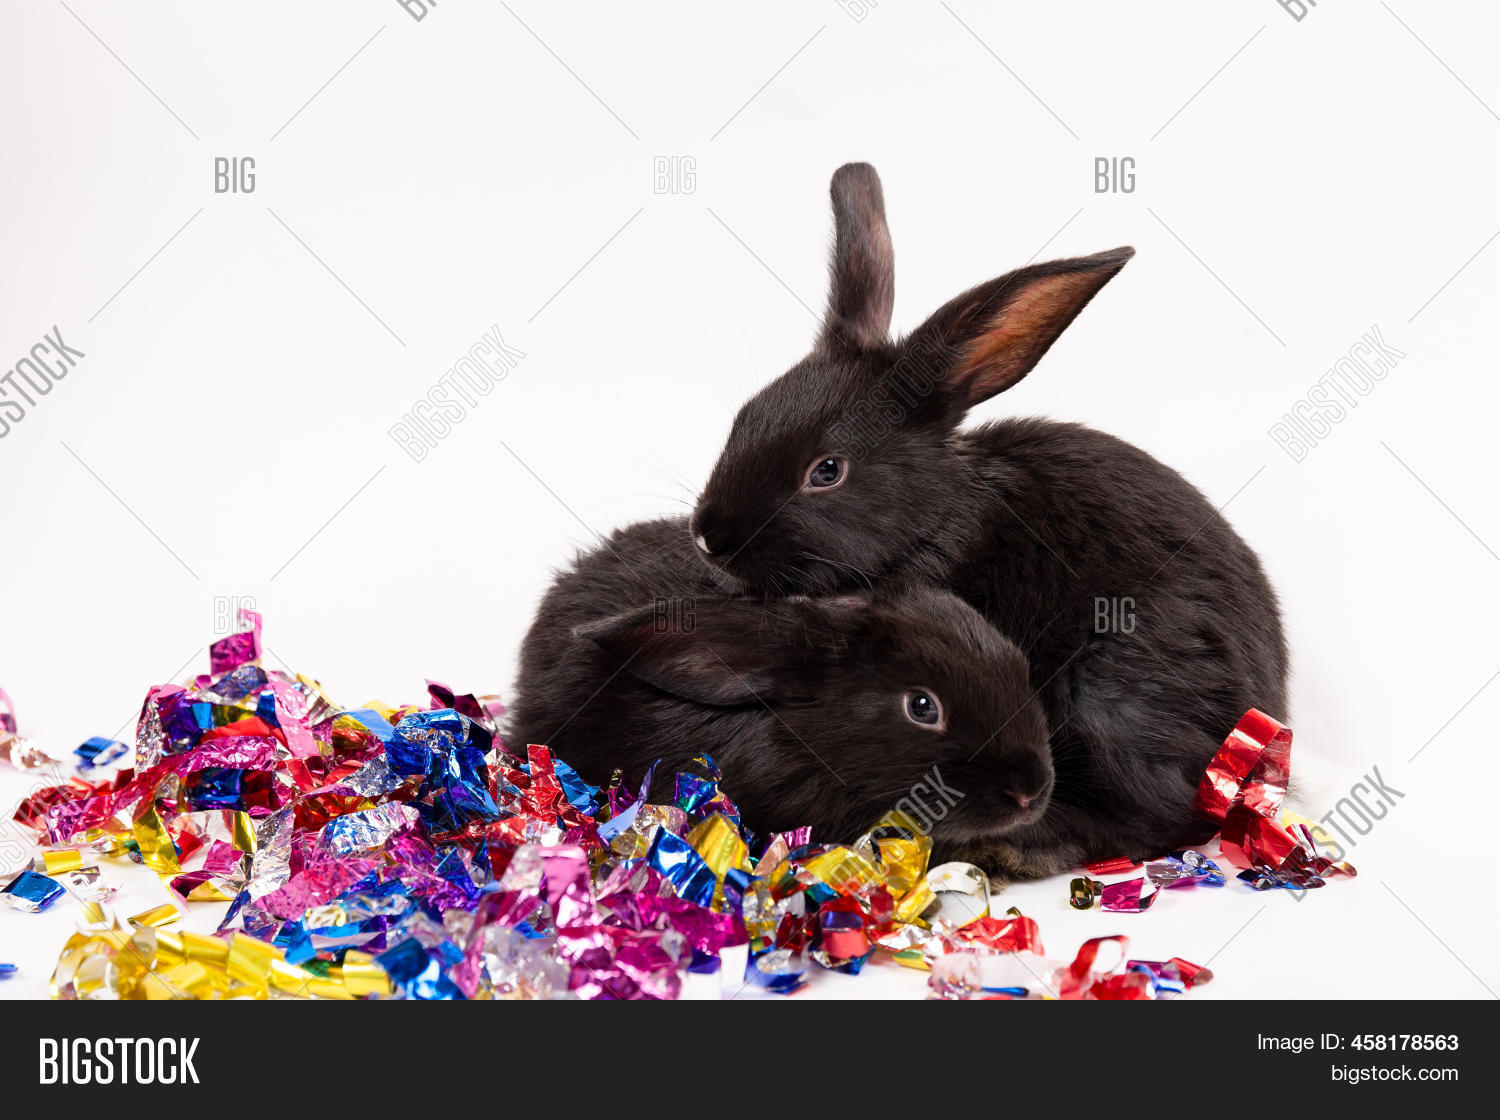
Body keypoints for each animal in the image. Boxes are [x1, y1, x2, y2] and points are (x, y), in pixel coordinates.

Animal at [686, 163, 1287, 875]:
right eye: (743, 418)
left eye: (825, 471)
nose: (709, 537)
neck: (931, 522)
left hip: (1108, 694)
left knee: (1150, 819)